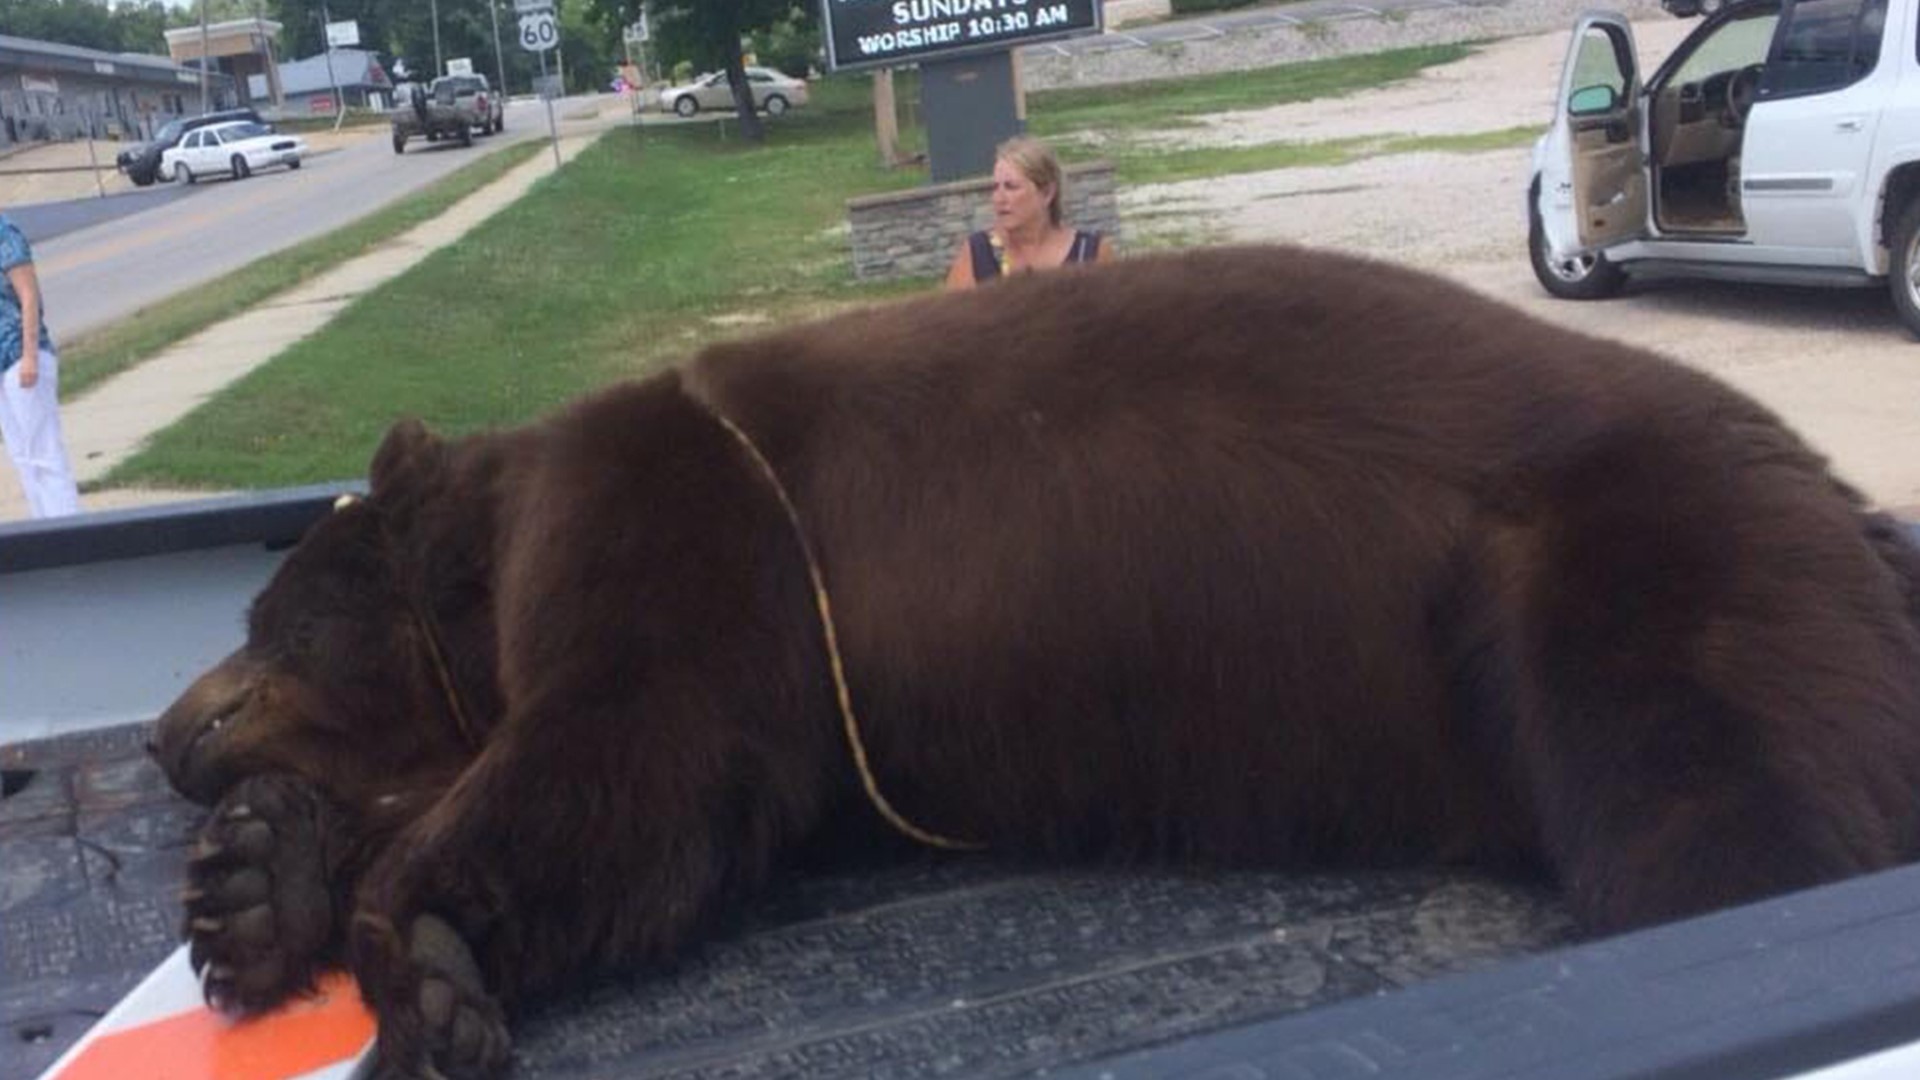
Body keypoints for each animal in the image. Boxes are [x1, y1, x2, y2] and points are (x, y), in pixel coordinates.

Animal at [150, 245, 1920, 1078]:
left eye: (260, 626)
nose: (170, 736)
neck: (494, 546)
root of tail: (1839, 494)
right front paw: (254, 883)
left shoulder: (685, 531)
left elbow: (638, 753)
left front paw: (429, 962)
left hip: (1636, 576)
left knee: (1730, 819)